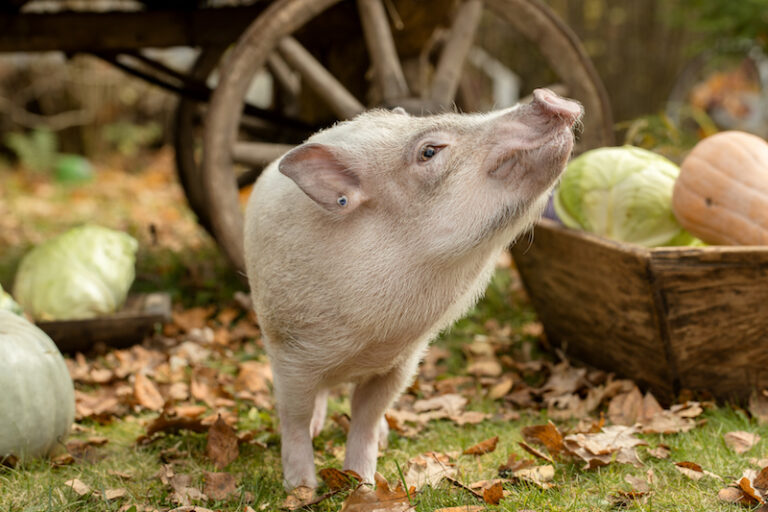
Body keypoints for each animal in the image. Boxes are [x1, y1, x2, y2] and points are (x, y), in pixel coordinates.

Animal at [243, 88, 582, 490]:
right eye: (429, 151)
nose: (545, 95)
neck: (366, 342)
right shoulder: (289, 353)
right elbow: (294, 417)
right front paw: (302, 488)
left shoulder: (401, 362)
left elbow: (368, 415)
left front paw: (363, 482)